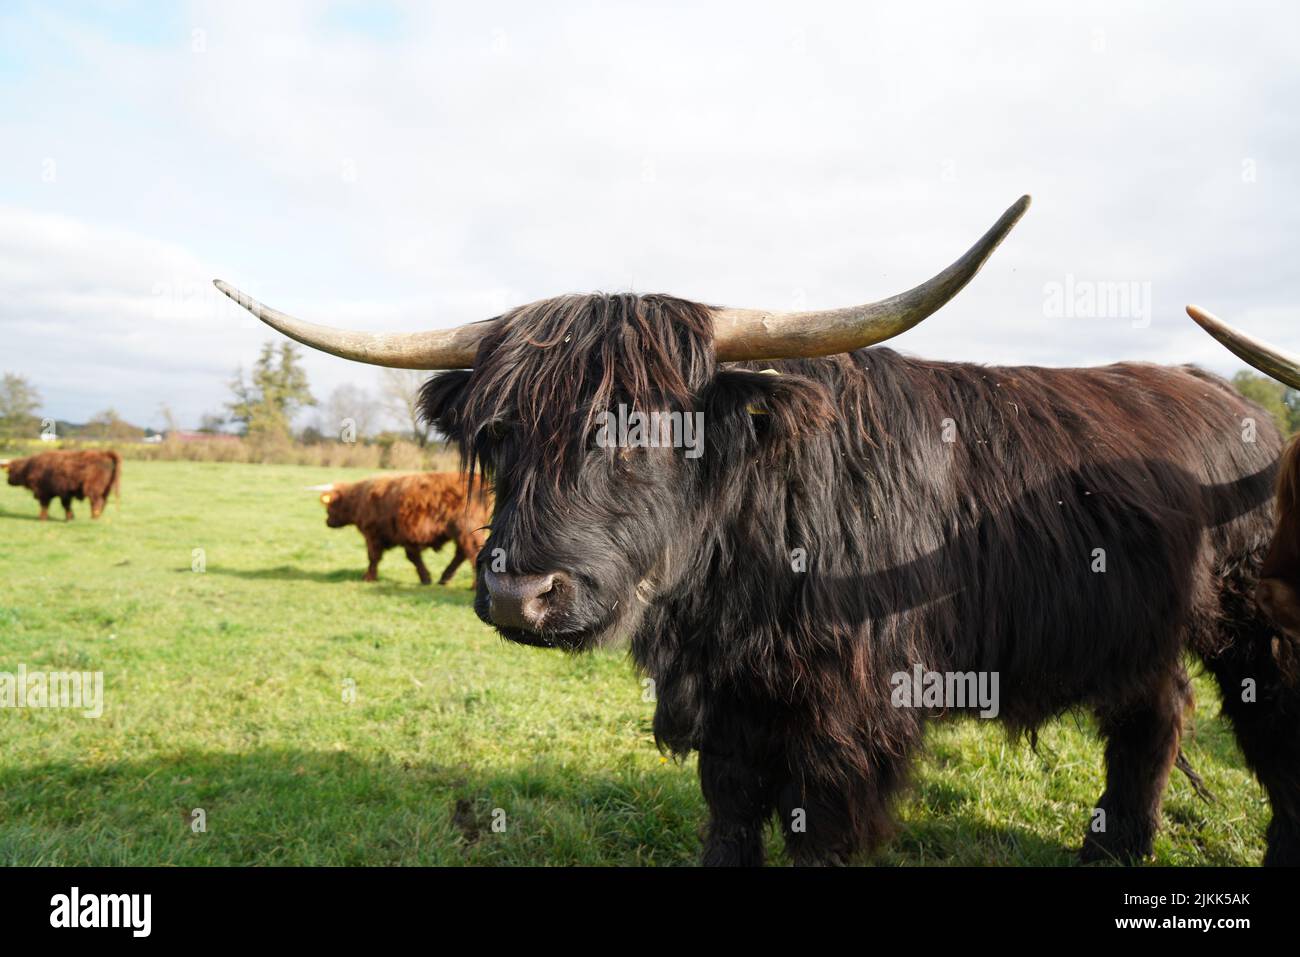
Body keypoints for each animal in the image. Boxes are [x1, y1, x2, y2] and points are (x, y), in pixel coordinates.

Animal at [314, 472, 490, 587]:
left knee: (472, 553)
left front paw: (368, 577)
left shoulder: (373, 535)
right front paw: (425, 578)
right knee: (461, 554)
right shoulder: (407, 537)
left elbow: (373, 557)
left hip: (466, 529)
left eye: (330, 506)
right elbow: (414, 558)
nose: (327, 522)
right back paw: (444, 578)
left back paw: (473, 586)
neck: (358, 501)